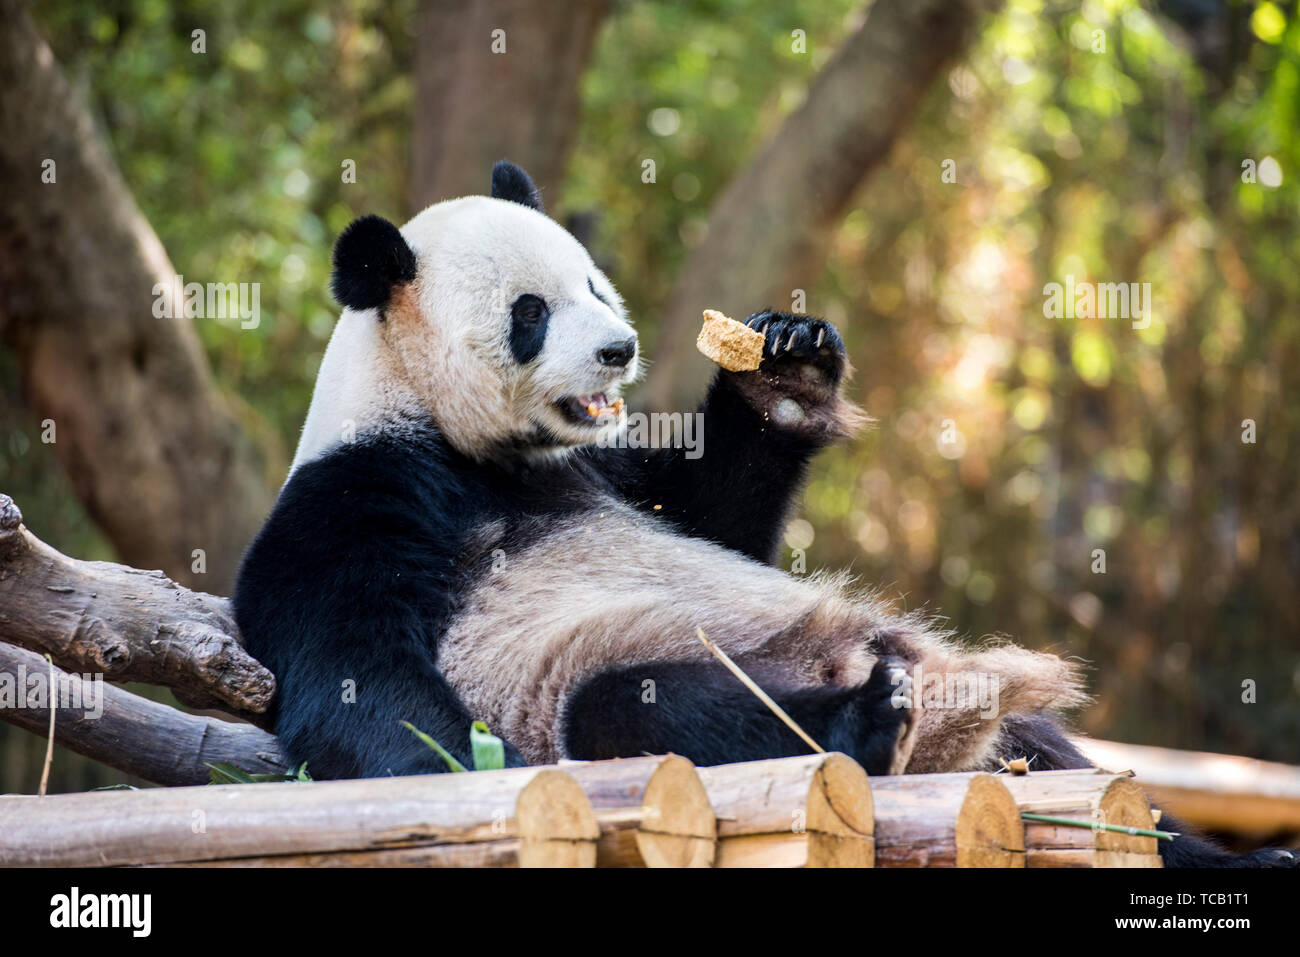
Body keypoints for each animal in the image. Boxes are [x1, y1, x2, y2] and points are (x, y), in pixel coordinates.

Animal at [233, 160, 1295, 868]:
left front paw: (786, 364)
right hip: (652, 677)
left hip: (1003, 733)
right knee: (640, 705)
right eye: (531, 311)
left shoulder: (600, 473)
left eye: (593, 283)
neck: (459, 436)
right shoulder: (356, 502)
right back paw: (867, 719)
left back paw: (1241, 855)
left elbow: (714, 512)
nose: (618, 349)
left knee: (1079, 769)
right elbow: (360, 683)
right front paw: (476, 771)